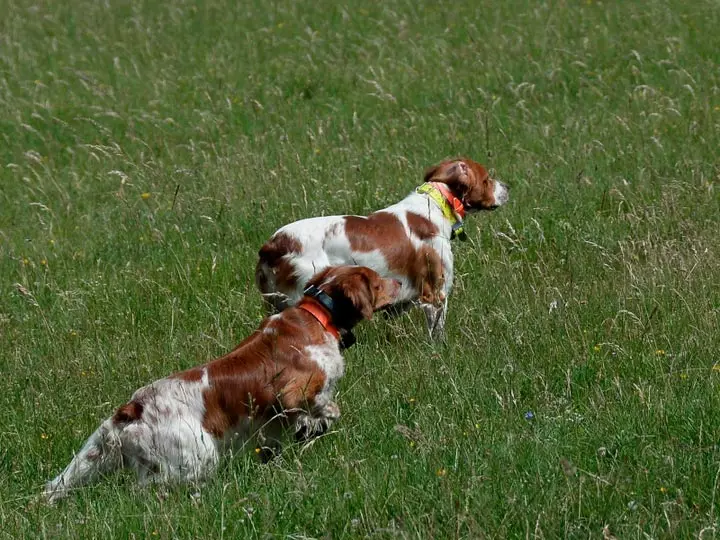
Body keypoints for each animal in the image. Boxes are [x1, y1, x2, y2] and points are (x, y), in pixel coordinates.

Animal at [44, 266, 400, 502]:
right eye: (377, 280)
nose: (398, 281)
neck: (317, 317)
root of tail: (131, 409)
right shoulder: (294, 392)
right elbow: (325, 409)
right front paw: (314, 426)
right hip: (196, 458)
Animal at [256, 156, 510, 340]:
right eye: (487, 179)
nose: (507, 186)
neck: (436, 205)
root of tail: (274, 243)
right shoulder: (435, 294)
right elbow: (436, 335)